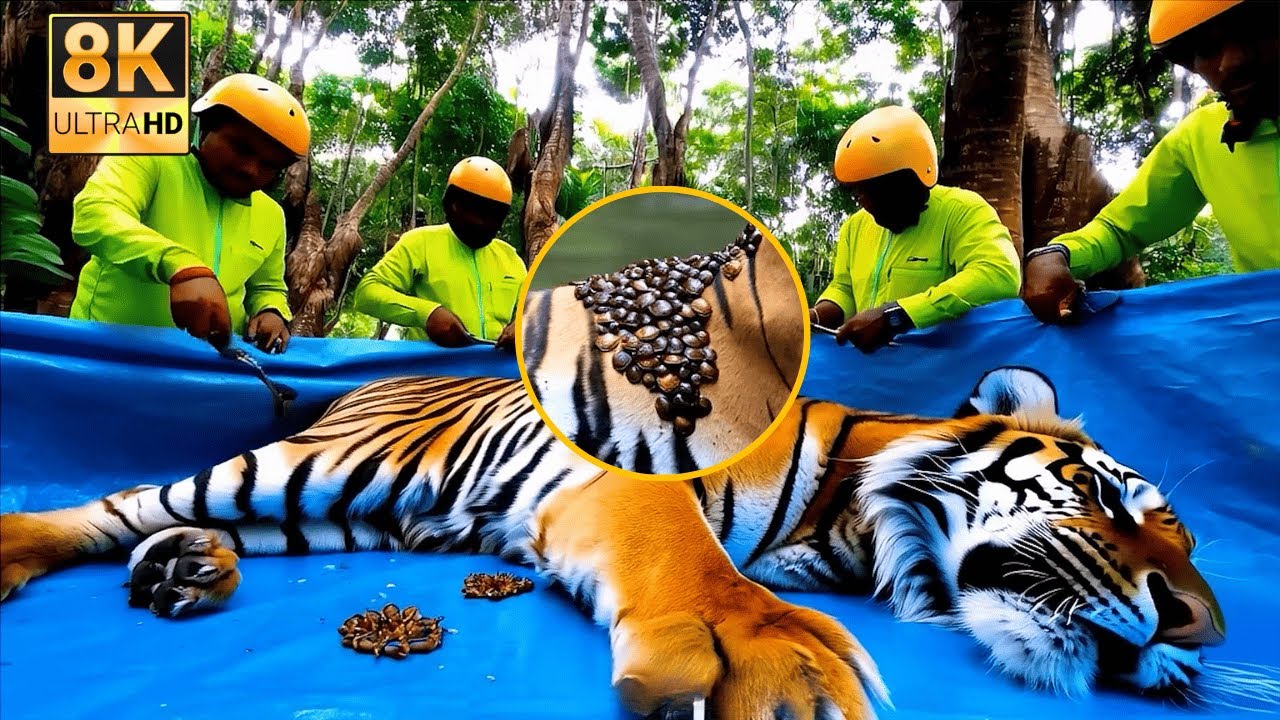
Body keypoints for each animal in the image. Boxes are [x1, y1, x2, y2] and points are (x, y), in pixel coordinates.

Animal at [0, 363, 1225, 719]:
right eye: (1110, 502)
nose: (1199, 632)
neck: (852, 527)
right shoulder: (629, 480)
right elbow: (699, 564)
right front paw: (768, 661)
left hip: (337, 512)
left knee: (168, 526)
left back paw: (185, 569)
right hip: (313, 469)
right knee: (110, 503)